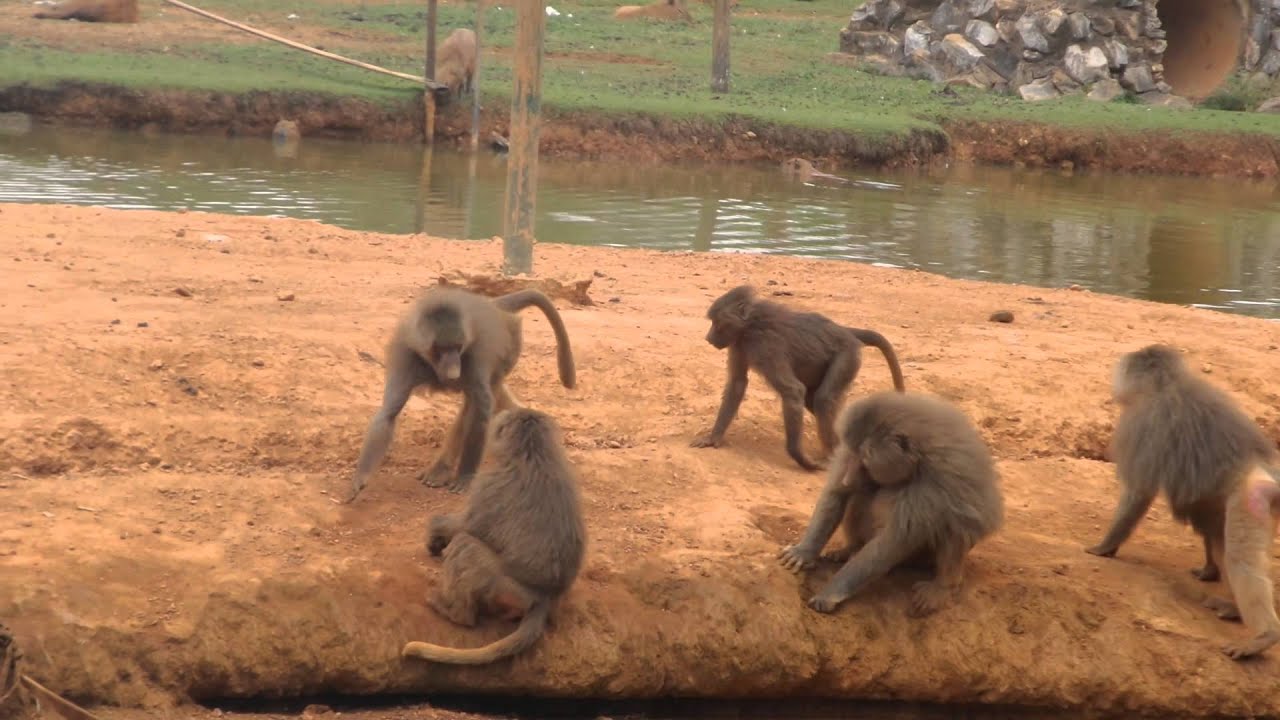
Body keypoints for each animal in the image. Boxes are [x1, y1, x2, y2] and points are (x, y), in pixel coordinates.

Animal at [345, 288, 575, 502]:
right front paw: (359, 478)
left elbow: (481, 408)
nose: (454, 369)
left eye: (457, 347)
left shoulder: (475, 354)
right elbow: (388, 413)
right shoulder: (406, 353)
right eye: (441, 349)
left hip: (510, 346)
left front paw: (465, 477)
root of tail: (493, 306)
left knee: (477, 402)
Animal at [402, 408, 586, 665]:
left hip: (507, 591)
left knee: (466, 547)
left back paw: (455, 613)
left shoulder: (488, 481)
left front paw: (436, 533)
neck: (534, 455)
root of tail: (545, 597)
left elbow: (467, 527)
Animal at [691, 285, 906, 472]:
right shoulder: (738, 344)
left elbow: (792, 390)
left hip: (847, 354)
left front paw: (802, 460)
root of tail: (843, 330)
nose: (708, 338)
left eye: (716, 322)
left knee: (823, 399)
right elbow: (737, 384)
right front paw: (712, 438)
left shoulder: (765, 345)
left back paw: (831, 456)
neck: (750, 324)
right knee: (814, 401)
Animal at [778, 391, 1004, 617]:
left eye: (865, 461)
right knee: (860, 495)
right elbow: (836, 494)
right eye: (854, 454)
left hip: (923, 558)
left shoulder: (932, 485)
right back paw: (850, 548)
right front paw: (803, 552)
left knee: (956, 524)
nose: (848, 479)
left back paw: (943, 586)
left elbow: (892, 541)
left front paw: (830, 593)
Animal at [1084, 344, 1280, 660]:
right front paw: (1208, 571)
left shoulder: (1142, 421)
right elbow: (1207, 520)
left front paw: (1103, 548)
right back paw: (1234, 609)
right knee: (1223, 541)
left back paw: (1263, 637)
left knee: (1239, 559)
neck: (1167, 384)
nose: (1114, 386)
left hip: (1252, 498)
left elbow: (1138, 492)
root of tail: (1267, 472)